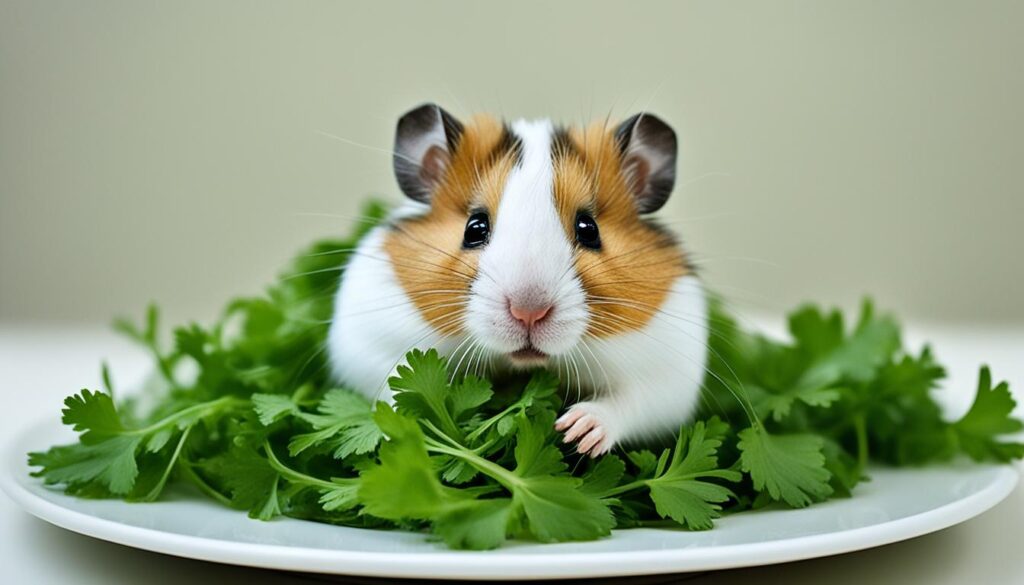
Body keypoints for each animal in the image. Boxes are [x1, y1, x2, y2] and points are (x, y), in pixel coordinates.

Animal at [328, 103, 708, 456]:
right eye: (474, 228)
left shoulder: (668, 372)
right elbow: (392, 389)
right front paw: (415, 424)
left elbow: (628, 403)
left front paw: (574, 433)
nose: (529, 312)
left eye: (589, 229)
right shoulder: (371, 343)